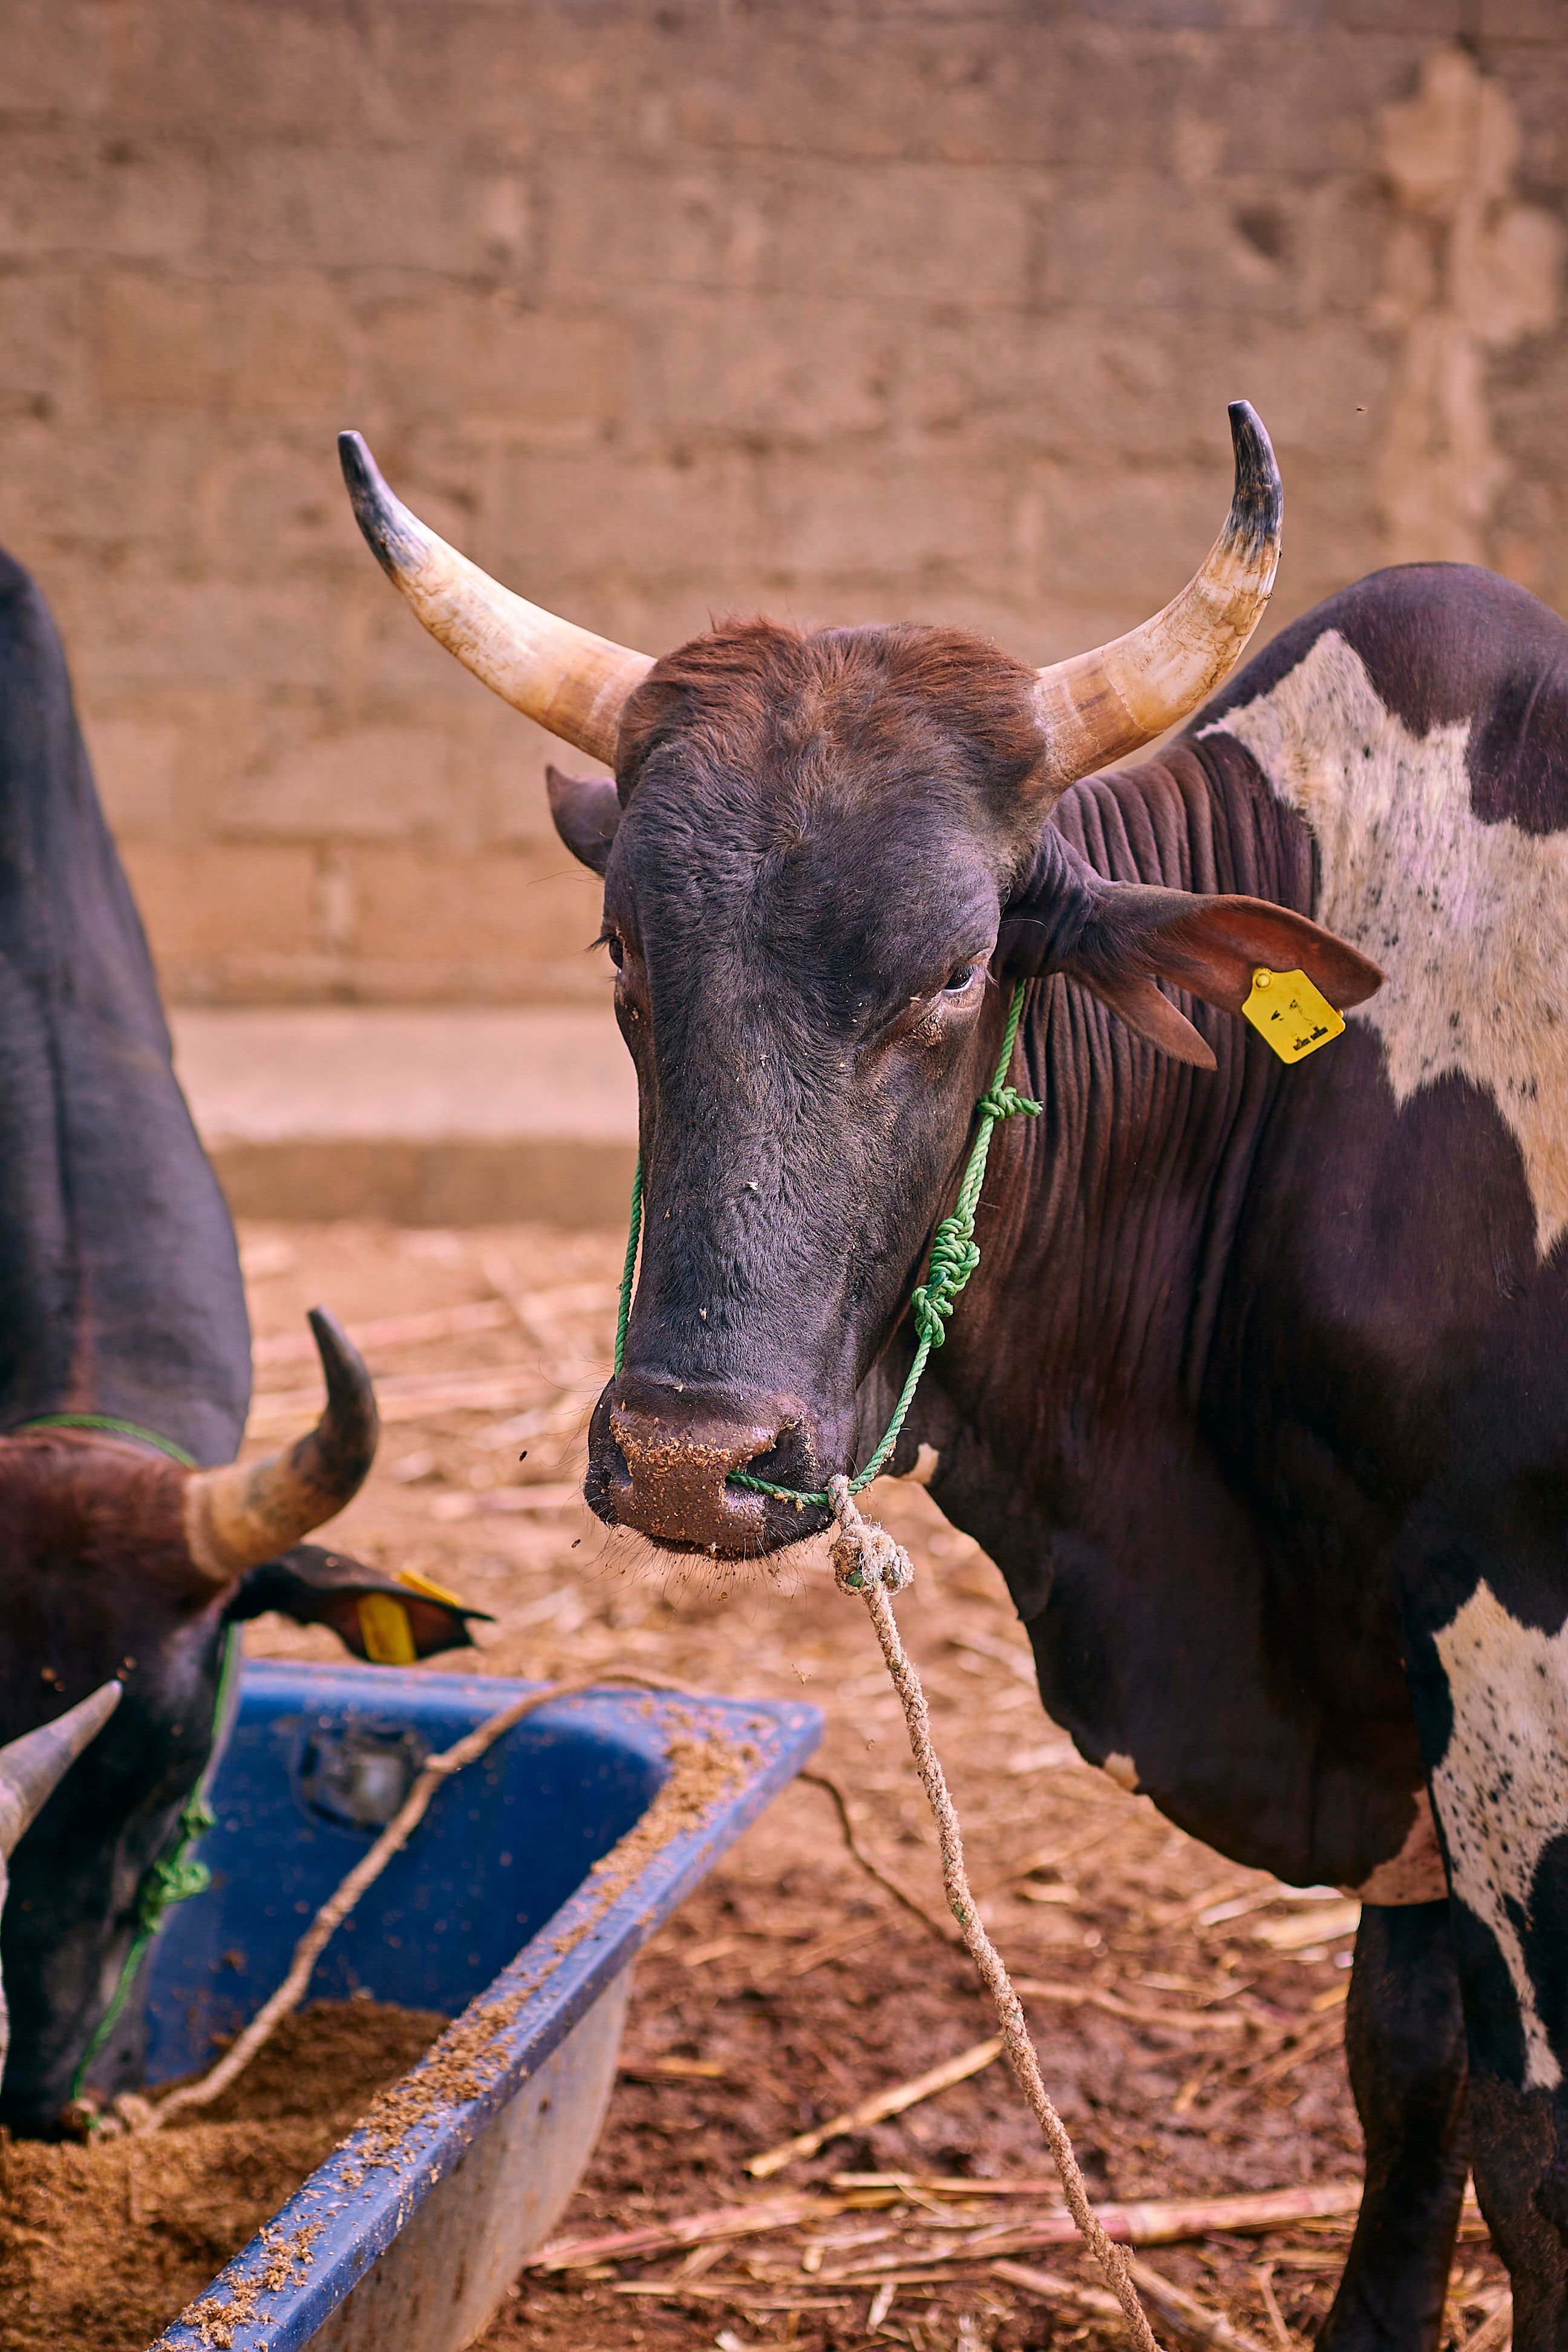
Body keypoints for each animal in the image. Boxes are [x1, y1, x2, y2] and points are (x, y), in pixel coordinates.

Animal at [342, 407, 1568, 2348]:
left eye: (957, 967)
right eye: (624, 952)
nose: (691, 1454)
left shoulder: (1509, 1667)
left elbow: (1533, 2160)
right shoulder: (1395, 1690)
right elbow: (1409, 2062)